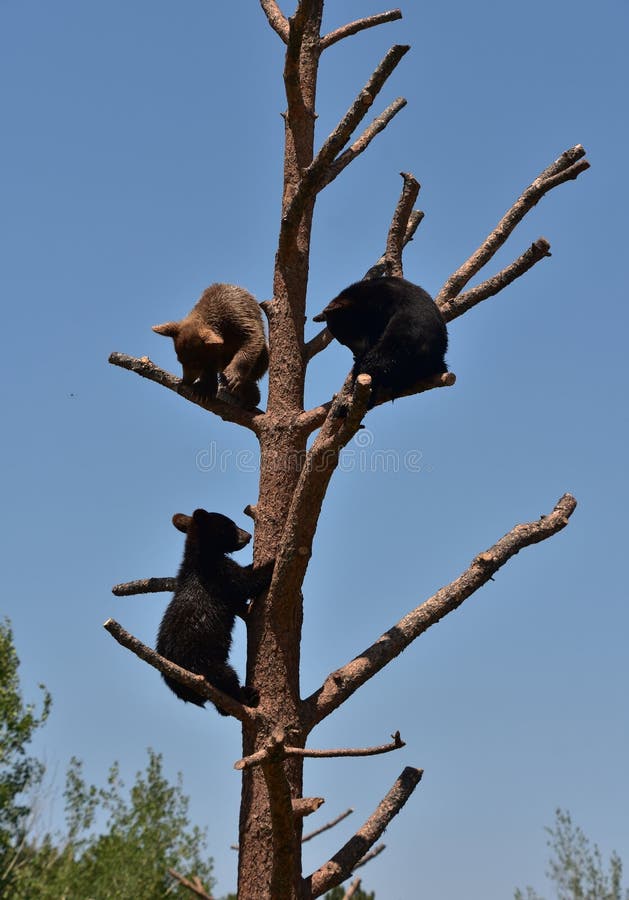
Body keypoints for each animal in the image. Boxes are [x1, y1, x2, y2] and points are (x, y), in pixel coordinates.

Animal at [156, 509, 274, 715]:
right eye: (230, 525)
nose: (248, 535)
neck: (201, 556)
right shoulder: (218, 574)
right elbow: (247, 582)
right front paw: (276, 560)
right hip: (204, 662)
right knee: (226, 678)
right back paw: (246, 696)